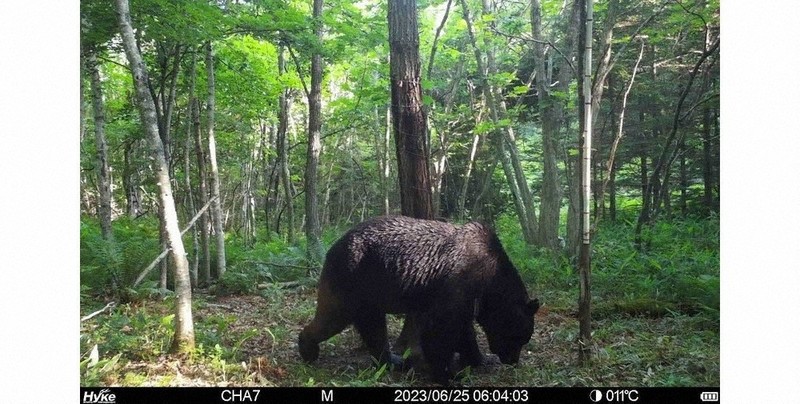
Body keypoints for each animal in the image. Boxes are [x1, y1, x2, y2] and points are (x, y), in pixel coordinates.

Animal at [298, 215, 540, 383]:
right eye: (519, 337)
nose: (512, 360)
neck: (489, 281)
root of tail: (333, 246)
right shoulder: (457, 283)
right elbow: (441, 329)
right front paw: (447, 374)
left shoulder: (466, 299)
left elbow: (464, 330)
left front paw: (478, 359)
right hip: (352, 278)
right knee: (333, 317)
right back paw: (308, 349)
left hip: (370, 293)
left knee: (373, 328)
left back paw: (392, 360)